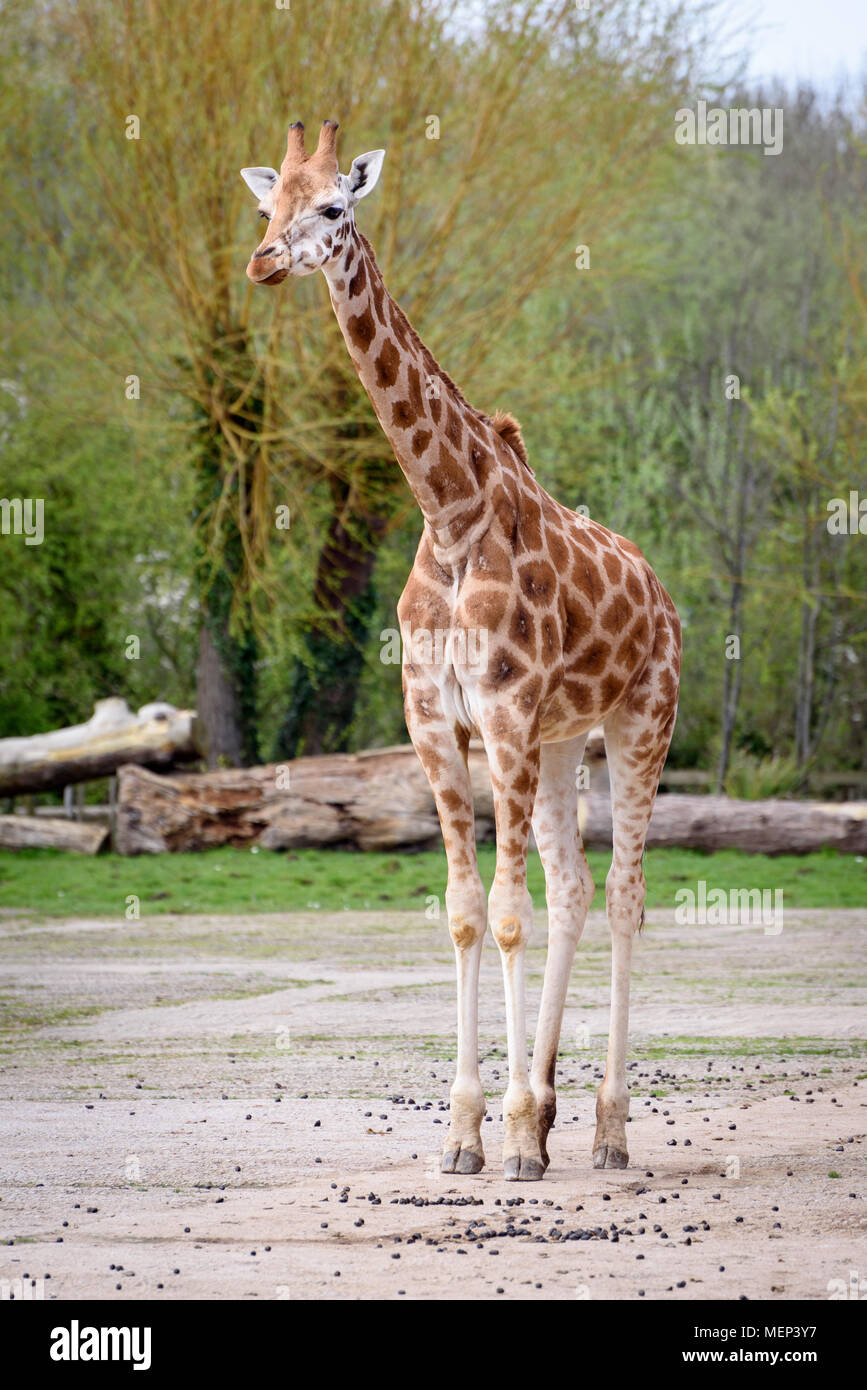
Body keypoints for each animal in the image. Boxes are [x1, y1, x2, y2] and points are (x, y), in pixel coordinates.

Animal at [241, 120, 681, 1180]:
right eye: (268, 207)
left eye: (333, 206)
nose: (264, 261)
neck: (448, 512)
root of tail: (661, 594)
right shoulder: (436, 722)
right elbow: (468, 910)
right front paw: (468, 1130)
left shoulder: (506, 713)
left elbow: (511, 913)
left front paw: (513, 1135)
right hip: (564, 742)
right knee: (575, 889)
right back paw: (558, 1109)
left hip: (640, 720)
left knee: (624, 895)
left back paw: (604, 1128)